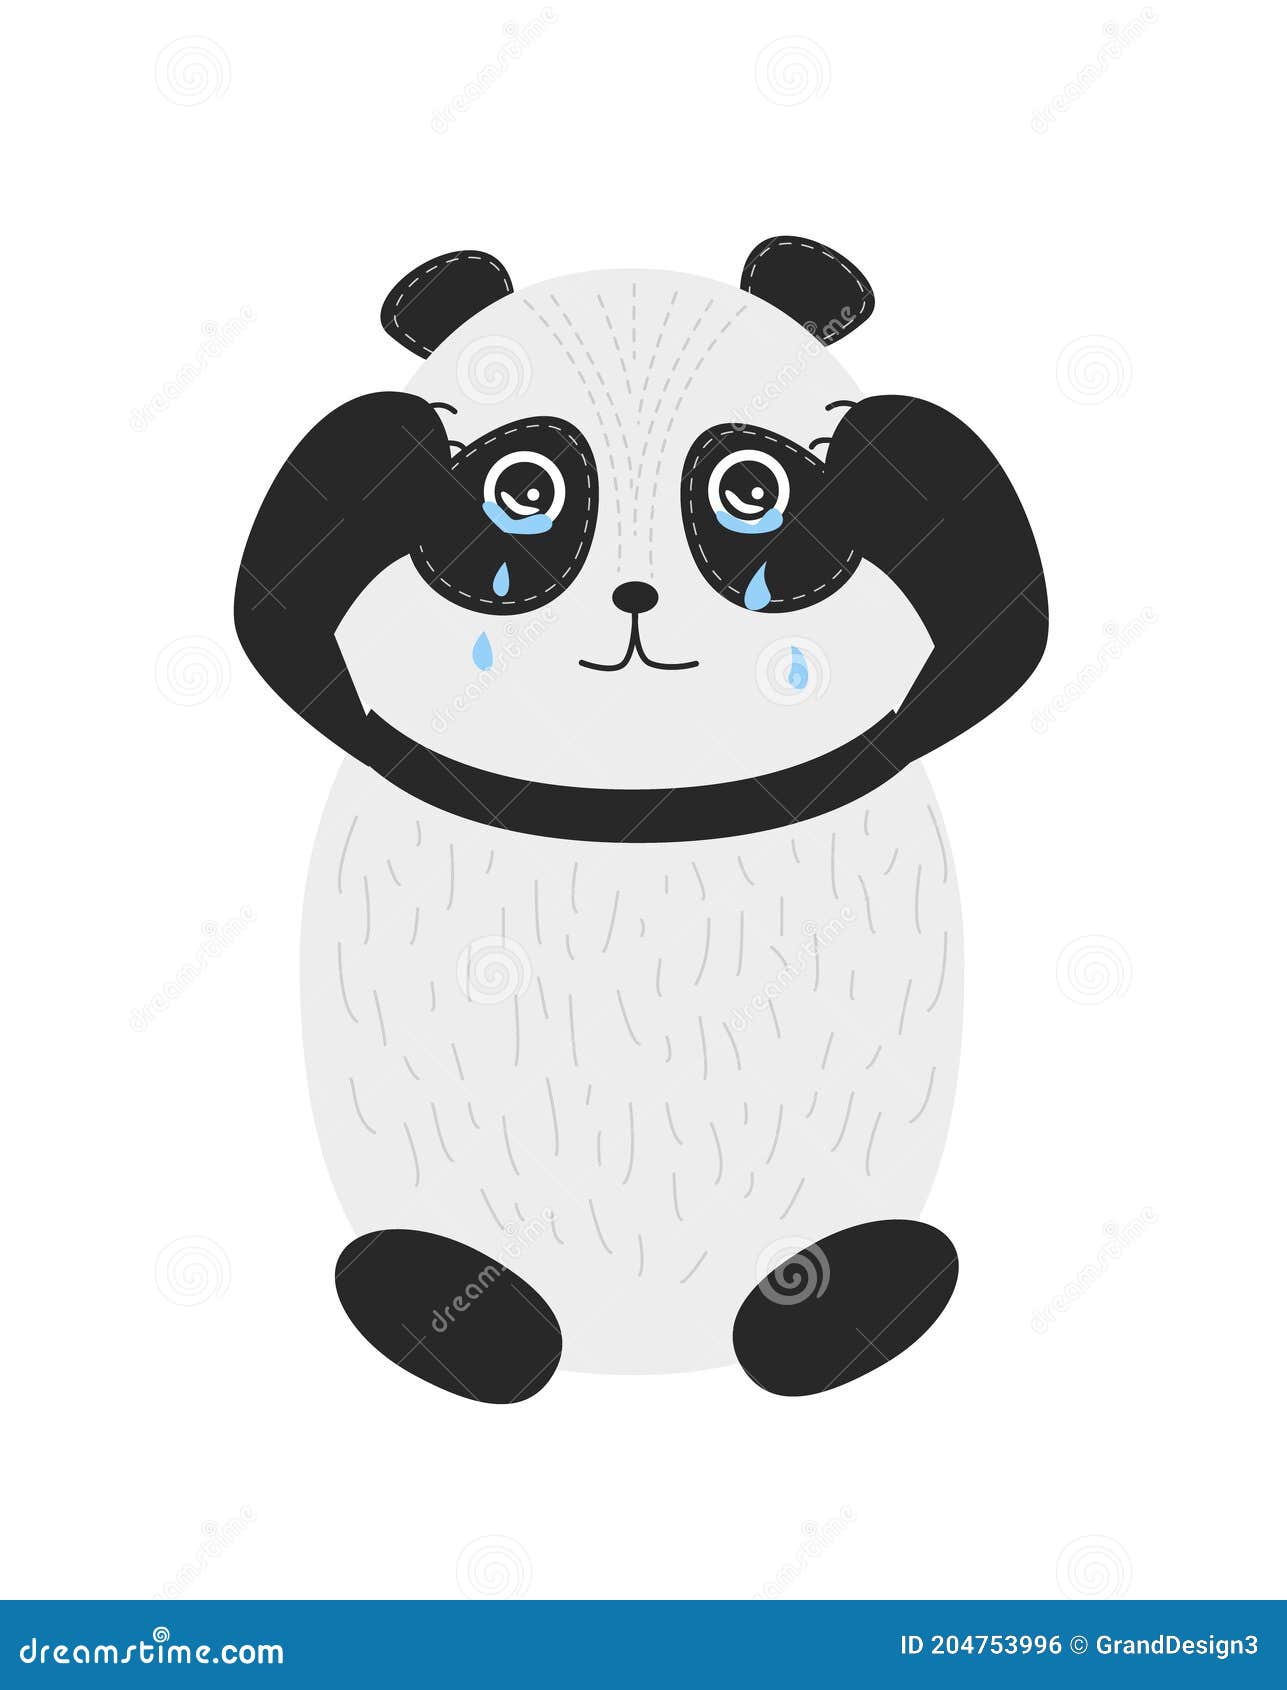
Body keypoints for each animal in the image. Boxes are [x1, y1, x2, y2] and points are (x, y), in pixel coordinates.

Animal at [236, 237, 1046, 1402]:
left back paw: (838, 1298)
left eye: (750, 488)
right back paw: (460, 1311)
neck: (635, 802)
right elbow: (286, 596)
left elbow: (994, 601)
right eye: (523, 491)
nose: (634, 597)